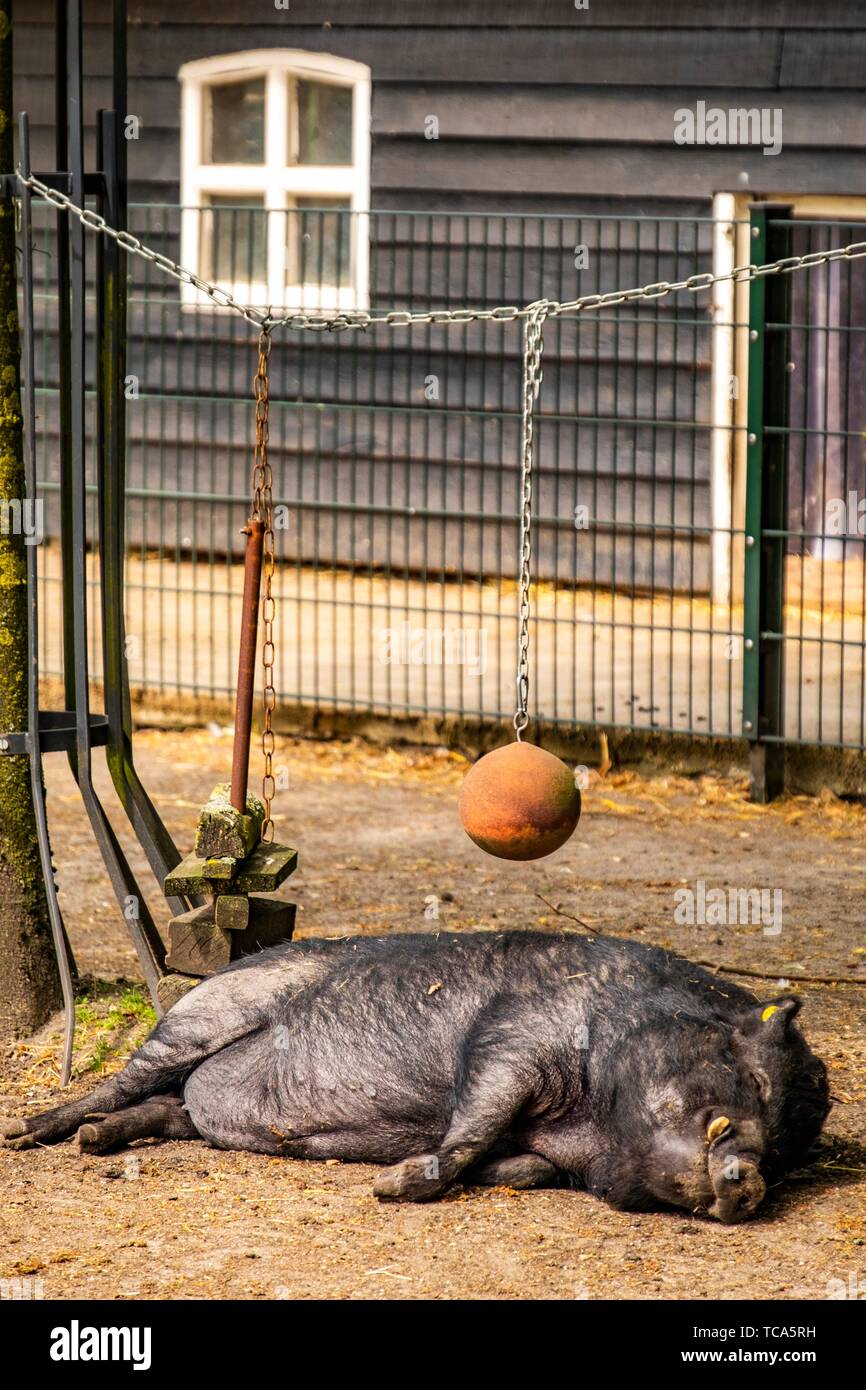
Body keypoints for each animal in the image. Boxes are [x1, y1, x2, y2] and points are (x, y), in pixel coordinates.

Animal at [0, 931, 829, 1223]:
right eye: (754, 1084)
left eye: (787, 1152)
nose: (750, 1181)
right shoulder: (510, 1042)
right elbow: (473, 1120)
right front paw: (389, 1185)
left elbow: (520, 1164)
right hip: (199, 1018)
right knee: (124, 1081)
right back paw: (37, 1134)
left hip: (196, 1099)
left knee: (169, 1111)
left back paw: (100, 1141)